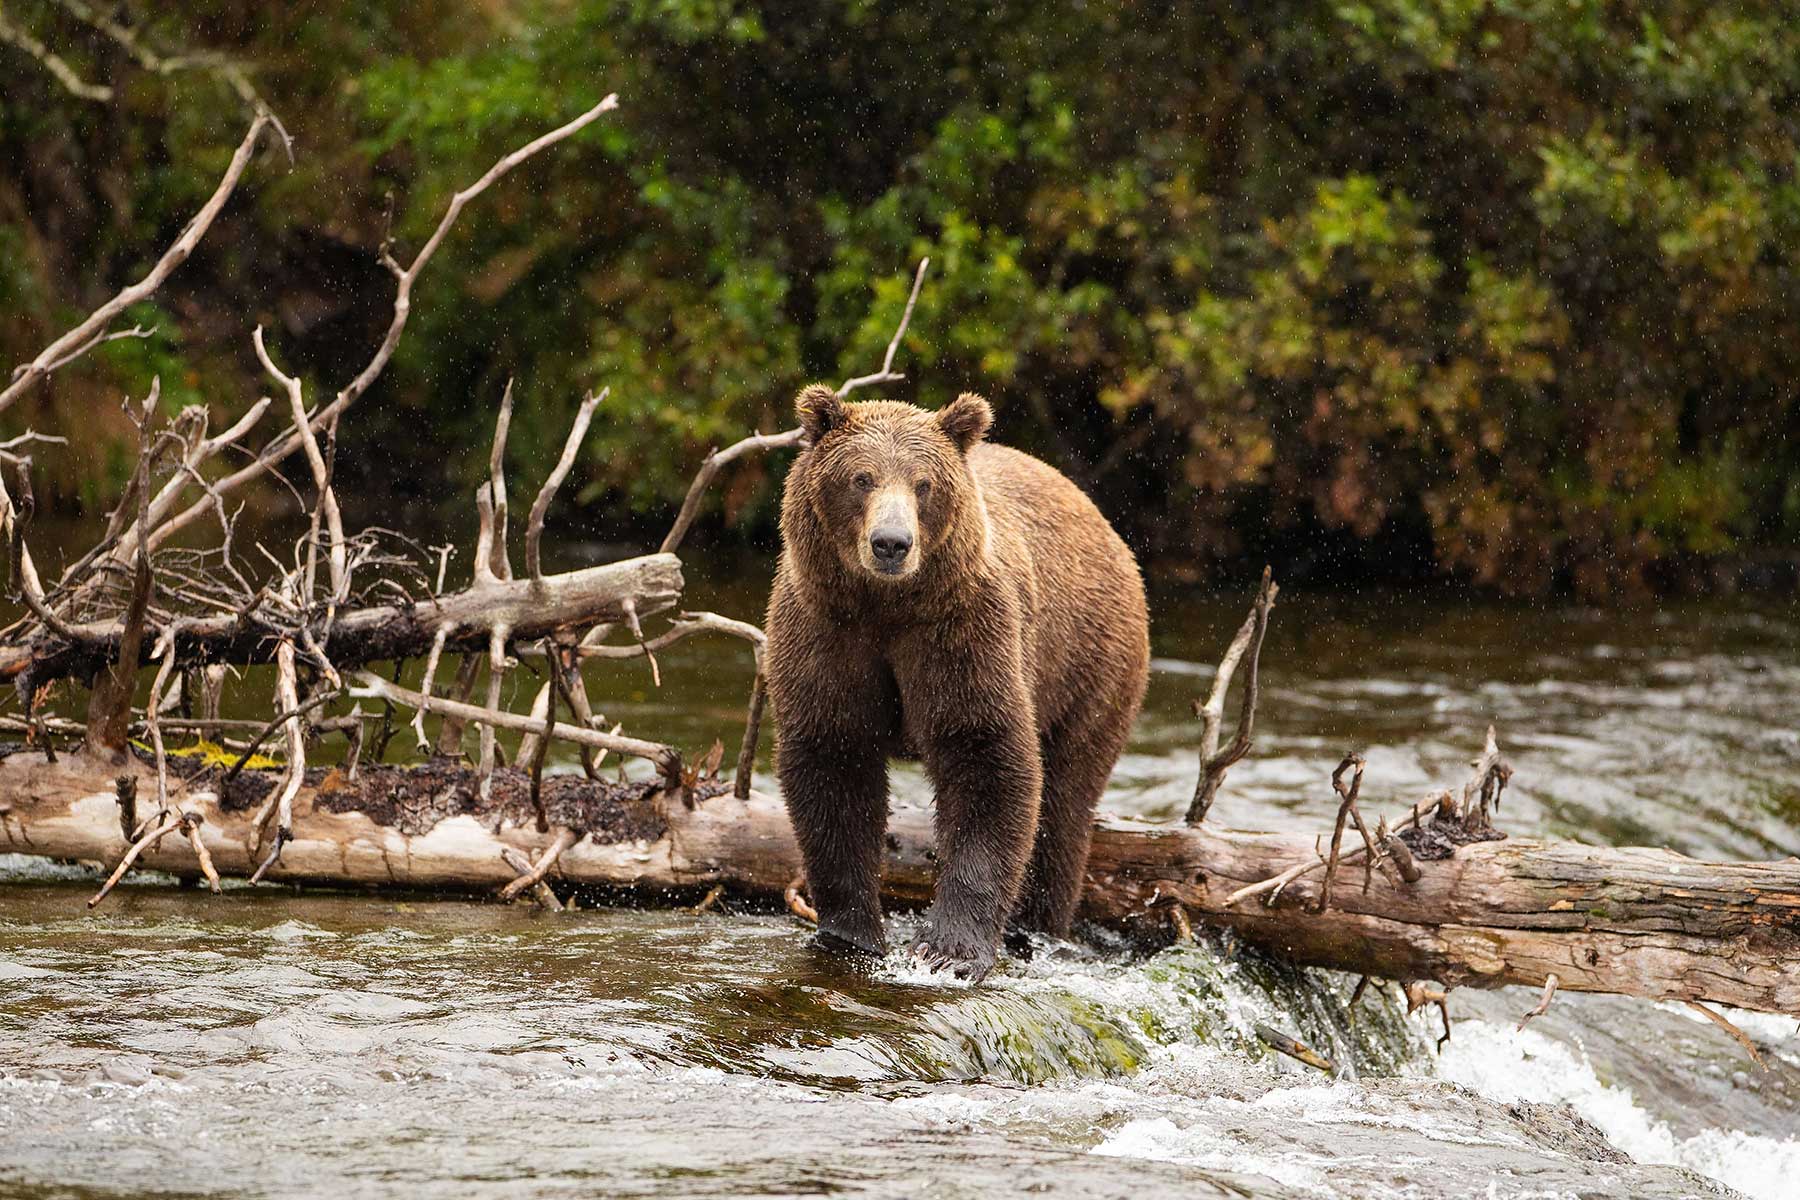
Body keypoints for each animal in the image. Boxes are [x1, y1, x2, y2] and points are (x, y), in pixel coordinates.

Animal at [764, 384, 1150, 979]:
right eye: (861, 477)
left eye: (923, 483)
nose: (891, 543)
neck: (887, 606)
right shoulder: (825, 628)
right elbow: (834, 759)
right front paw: (850, 932)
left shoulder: (962, 628)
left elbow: (985, 753)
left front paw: (948, 949)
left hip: (1091, 665)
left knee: (1065, 804)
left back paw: (1036, 927)